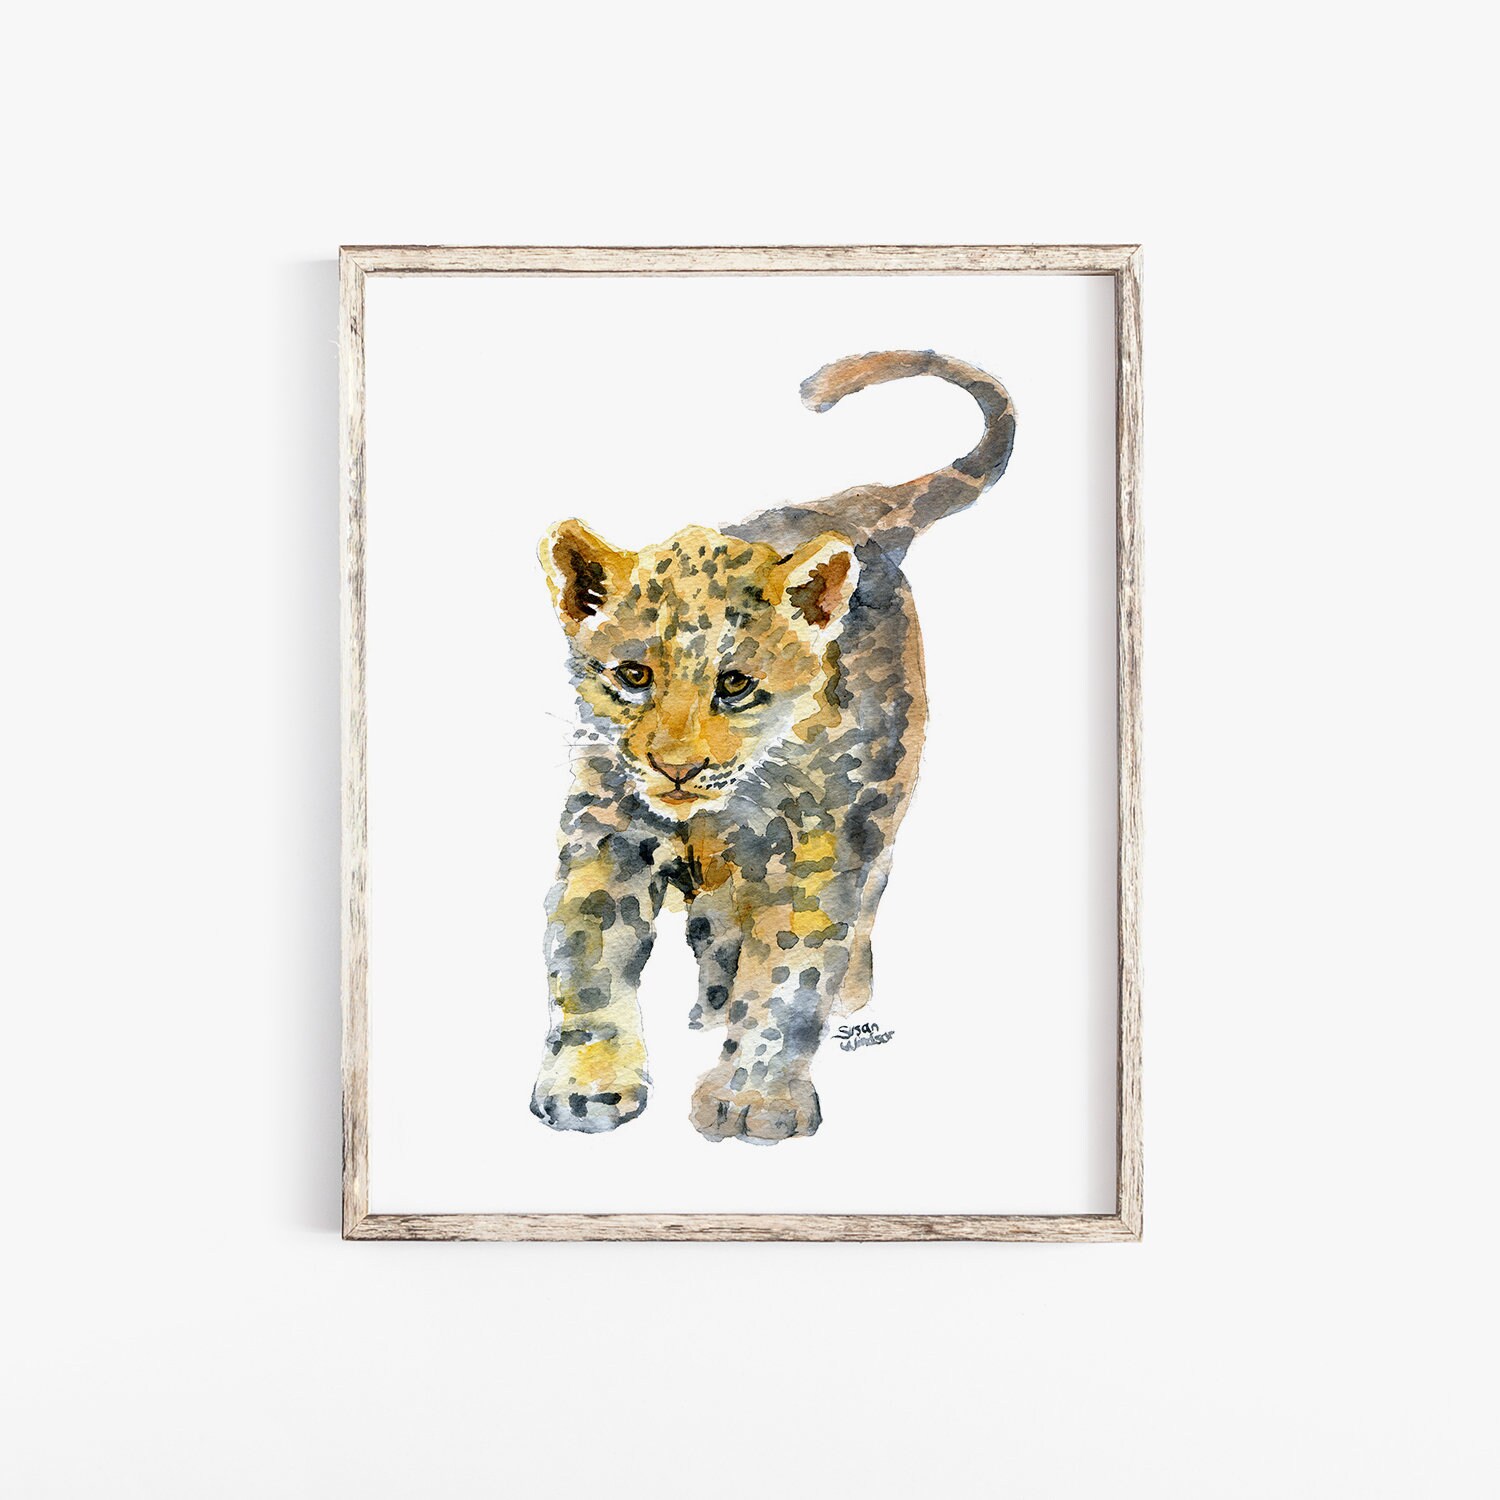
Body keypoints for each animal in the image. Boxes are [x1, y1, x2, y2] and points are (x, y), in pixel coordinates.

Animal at [531, 350, 1016, 1142]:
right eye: (633, 676)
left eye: (735, 683)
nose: (675, 767)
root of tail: (844, 513)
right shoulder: (605, 836)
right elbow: (587, 959)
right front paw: (586, 1086)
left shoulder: (814, 857)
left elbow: (790, 974)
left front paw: (755, 1099)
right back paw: (709, 1003)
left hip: (881, 808)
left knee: (863, 902)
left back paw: (838, 994)